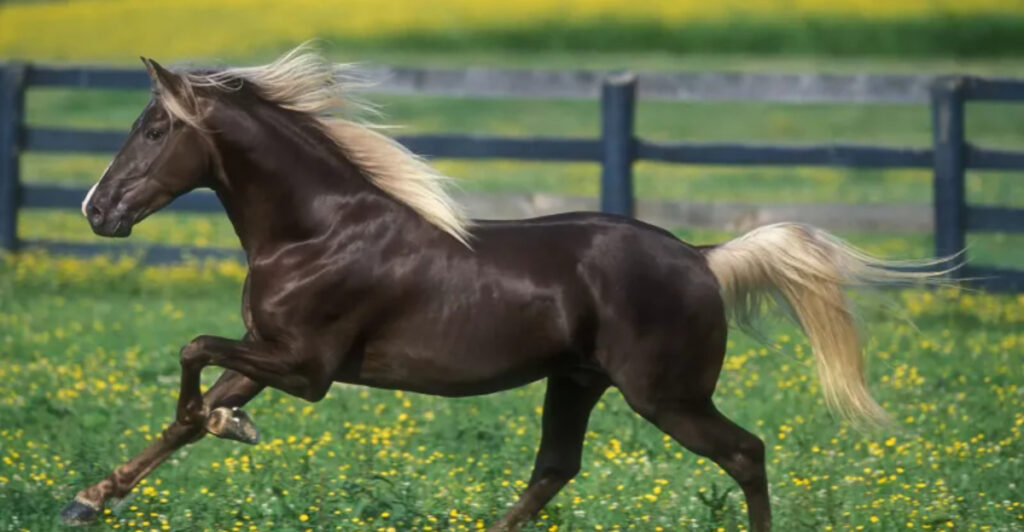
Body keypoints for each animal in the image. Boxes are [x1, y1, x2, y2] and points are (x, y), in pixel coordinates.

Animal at [62, 47, 940, 531]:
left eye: (154, 129)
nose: (96, 210)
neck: (317, 232)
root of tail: (703, 257)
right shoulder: (270, 351)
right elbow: (188, 412)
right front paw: (91, 498)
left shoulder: (307, 369)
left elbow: (191, 353)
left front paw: (221, 426)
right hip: (577, 381)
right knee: (554, 469)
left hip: (667, 396)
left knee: (745, 452)